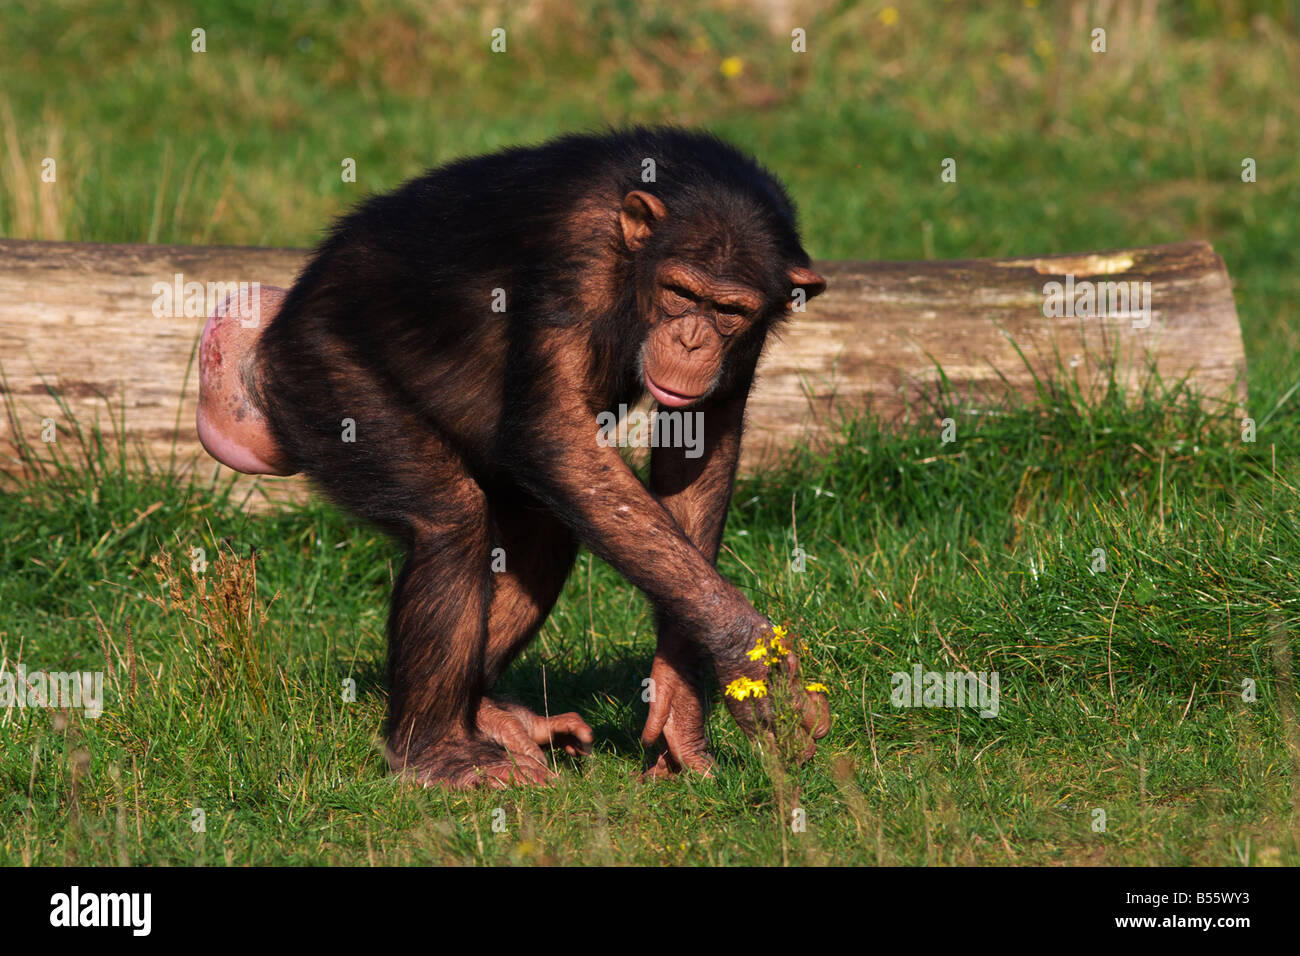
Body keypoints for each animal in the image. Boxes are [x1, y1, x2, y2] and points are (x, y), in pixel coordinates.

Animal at [197, 127, 830, 789]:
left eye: (728, 312)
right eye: (680, 293)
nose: (691, 340)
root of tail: (277, 321)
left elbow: (698, 445)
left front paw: (683, 699)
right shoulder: (576, 255)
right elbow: (553, 430)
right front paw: (750, 655)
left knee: (542, 538)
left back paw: (492, 716)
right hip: (317, 375)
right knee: (450, 521)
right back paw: (437, 751)